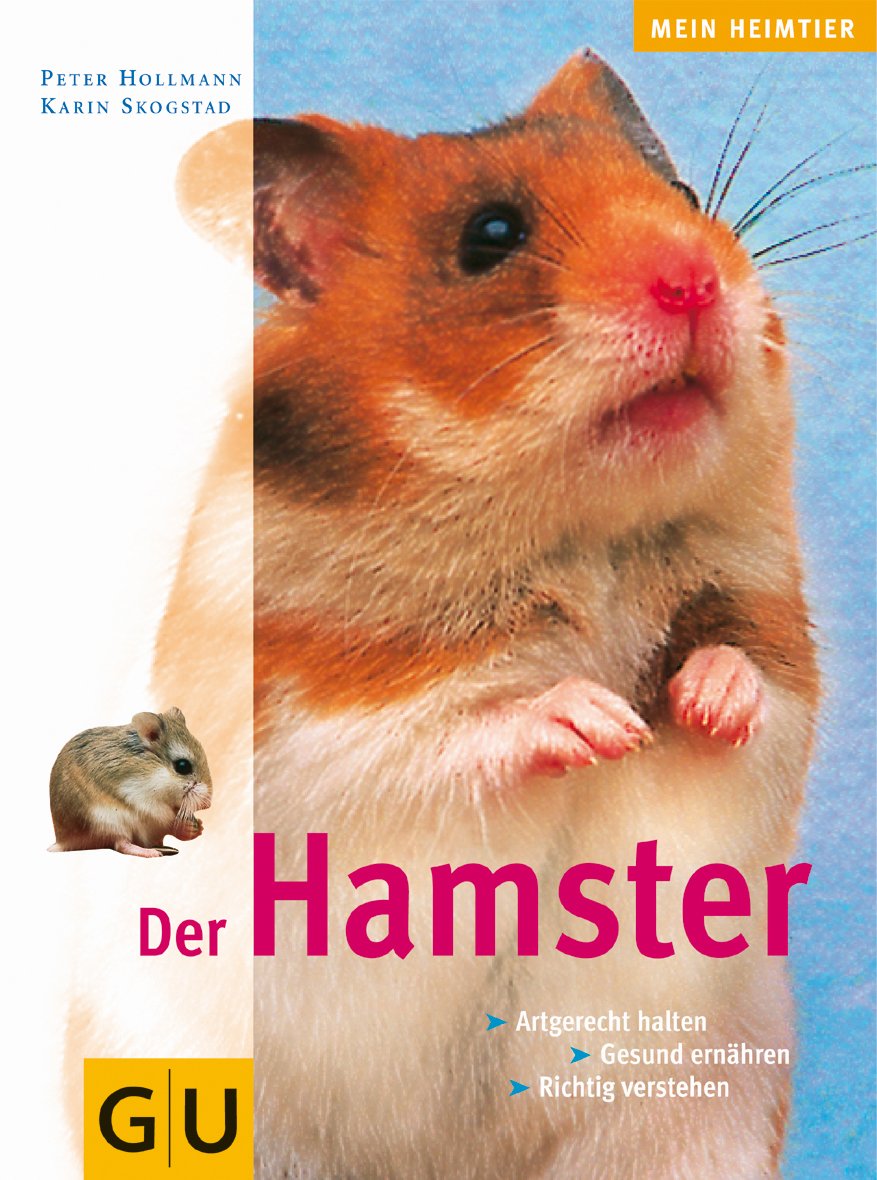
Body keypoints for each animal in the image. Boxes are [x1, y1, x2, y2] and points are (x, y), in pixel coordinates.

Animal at [49, 707, 212, 857]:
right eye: (182, 766)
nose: (208, 805)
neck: (154, 770)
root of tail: (62, 841)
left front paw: (199, 827)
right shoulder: (144, 800)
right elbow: (167, 820)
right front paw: (190, 827)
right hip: (108, 822)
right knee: (122, 844)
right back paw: (152, 852)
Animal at [166, 50, 820, 1180]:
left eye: (687, 196)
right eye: (492, 236)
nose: (694, 278)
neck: (579, 539)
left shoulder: (774, 646)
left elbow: (755, 694)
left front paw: (691, 704)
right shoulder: (309, 729)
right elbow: (441, 732)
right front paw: (598, 721)